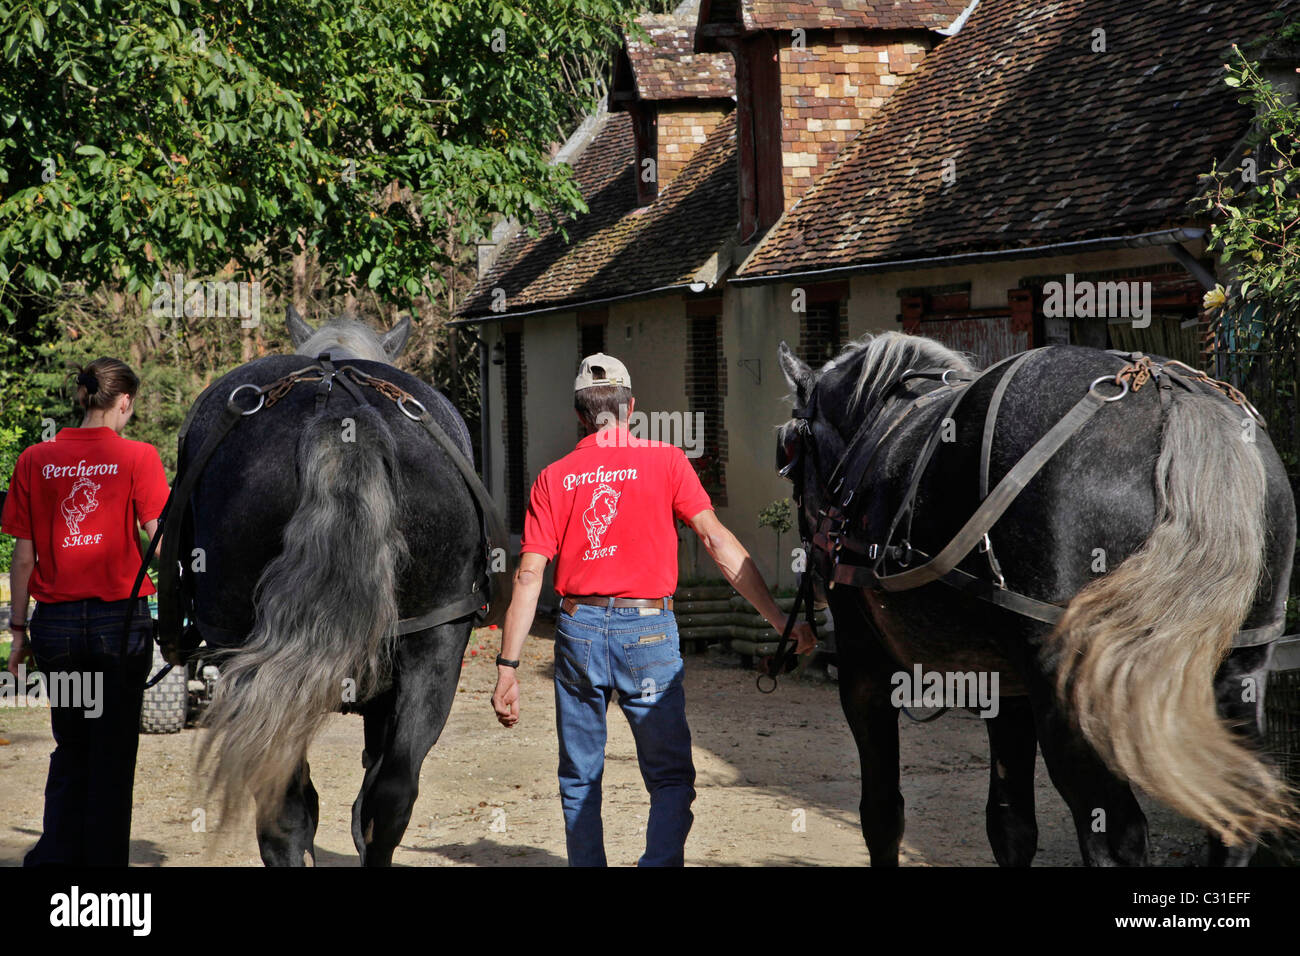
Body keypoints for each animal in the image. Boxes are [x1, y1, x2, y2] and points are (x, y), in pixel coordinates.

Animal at [775, 332, 1296, 866]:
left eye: (789, 454)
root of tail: (1168, 391)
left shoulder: (864, 669)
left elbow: (881, 814)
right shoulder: (1004, 684)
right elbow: (1011, 825)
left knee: (1115, 833)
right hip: (1240, 669)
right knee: (1235, 814)